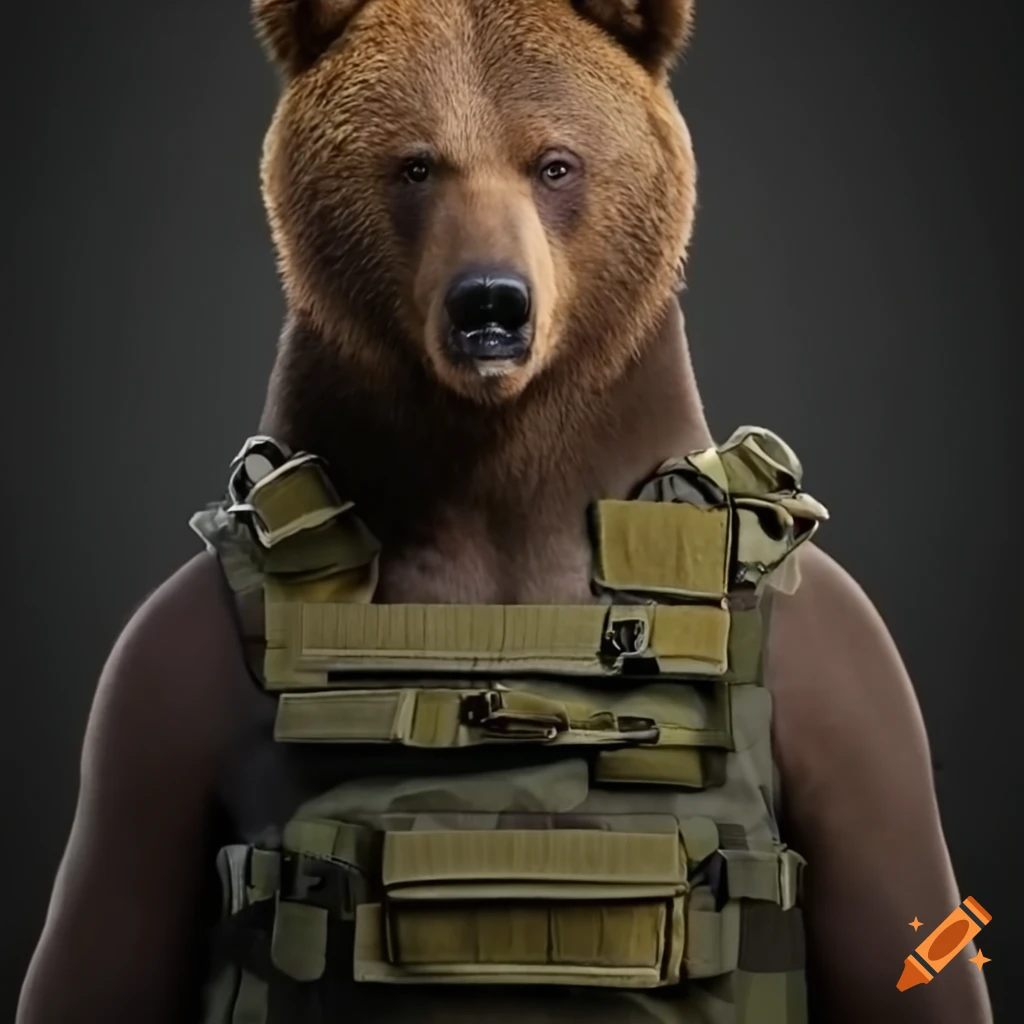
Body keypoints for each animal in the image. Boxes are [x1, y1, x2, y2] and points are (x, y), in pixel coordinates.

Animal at [17, 2, 992, 1023]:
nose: (491, 303)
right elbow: (104, 949)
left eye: (556, 163)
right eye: (415, 165)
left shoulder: (850, 669)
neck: (498, 493)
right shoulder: (156, 675)